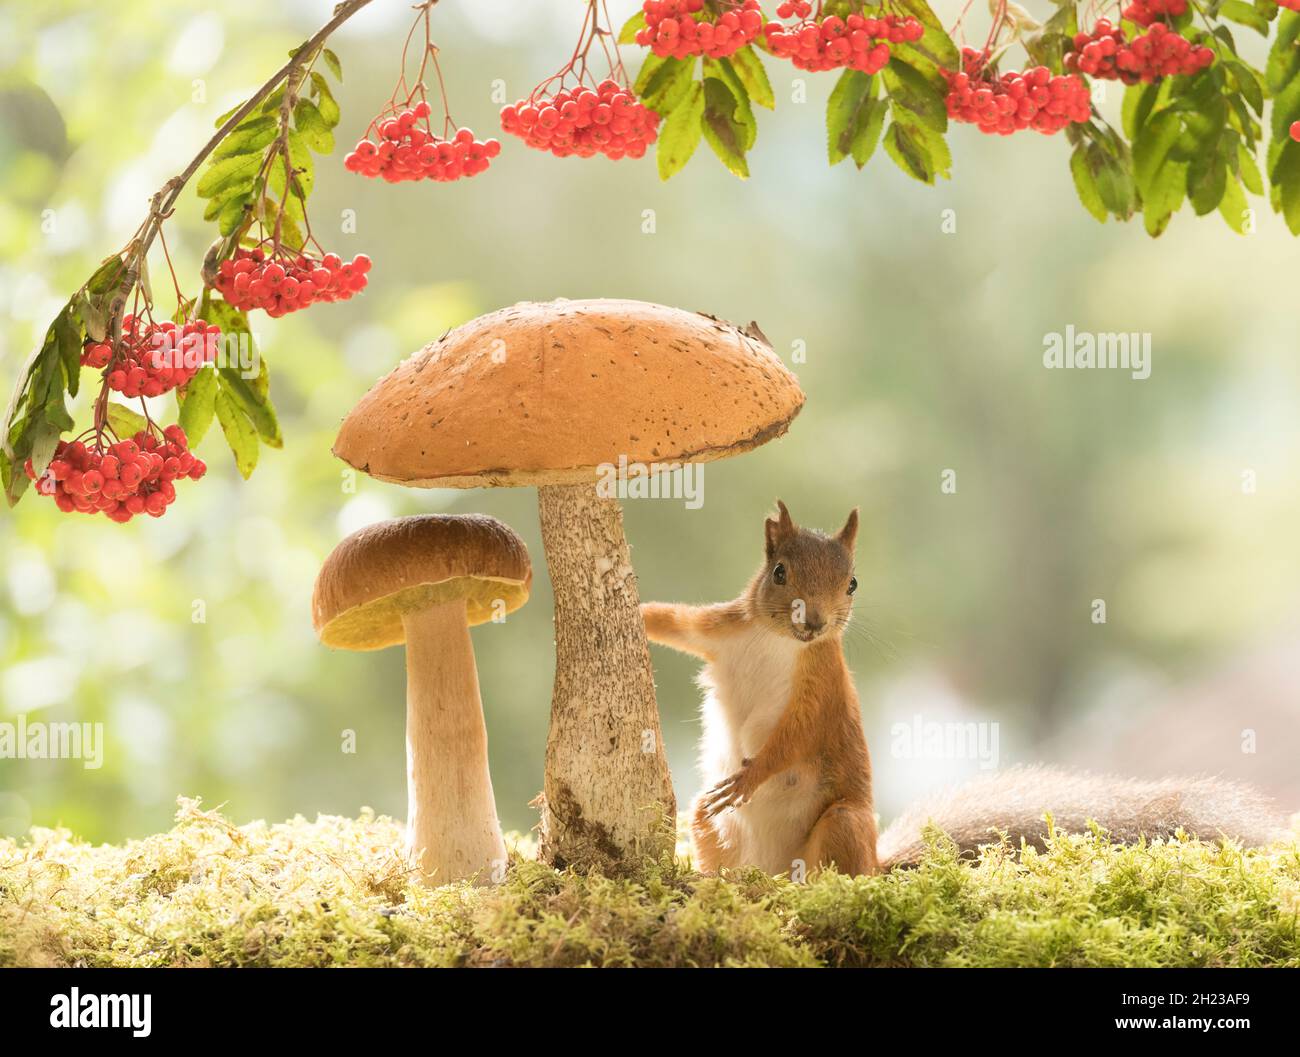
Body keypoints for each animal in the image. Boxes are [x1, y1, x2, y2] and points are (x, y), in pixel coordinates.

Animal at [641, 500, 1289, 876]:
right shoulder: (723, 629)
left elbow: (793, 740)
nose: (814, 623)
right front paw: (636, 608)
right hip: (709, 829)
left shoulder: (819, 688)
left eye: (852, 583)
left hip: (843, 824)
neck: (777, 642)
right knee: (710, 834)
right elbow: (676, 622)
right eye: (779, 573)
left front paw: (750, 776)